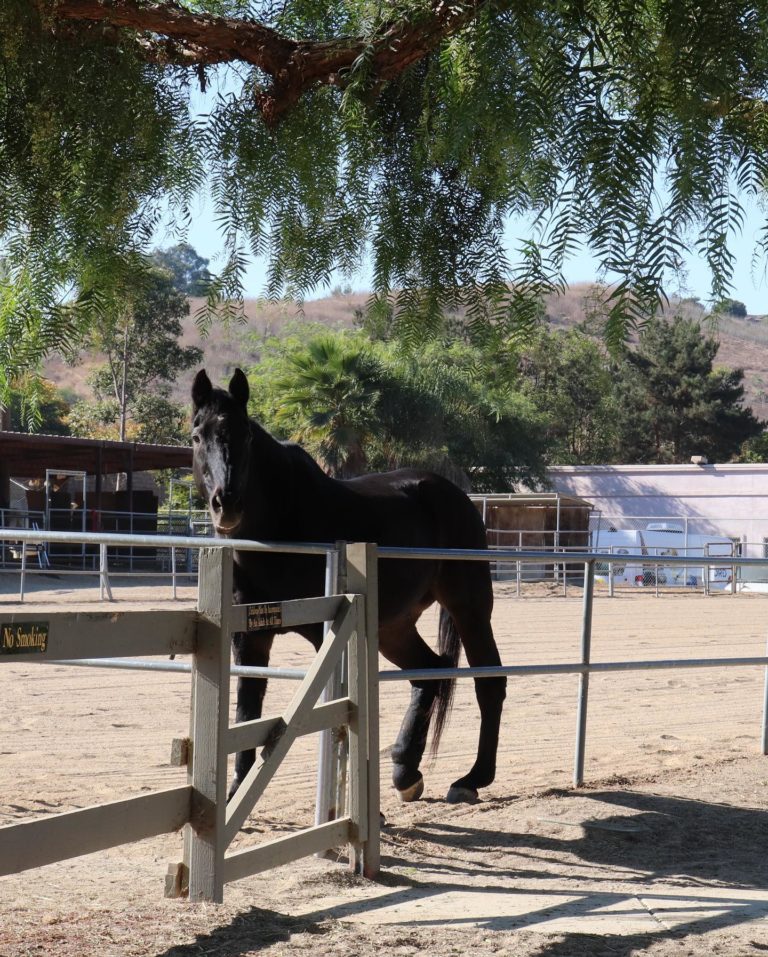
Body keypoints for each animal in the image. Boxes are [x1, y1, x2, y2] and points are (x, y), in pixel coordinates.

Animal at [191, 368, 507, 805]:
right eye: (197, 435)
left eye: (246, 435)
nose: (227, 504)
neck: (281, 523)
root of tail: (453, 494)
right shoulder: (250, 635)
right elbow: (246, 709)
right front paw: (238, 790)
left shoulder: (323, 630)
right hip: (393, 626)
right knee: (429, 673)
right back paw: (405, 771)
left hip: (469, 607)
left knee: (489, 681)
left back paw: (472, 778)